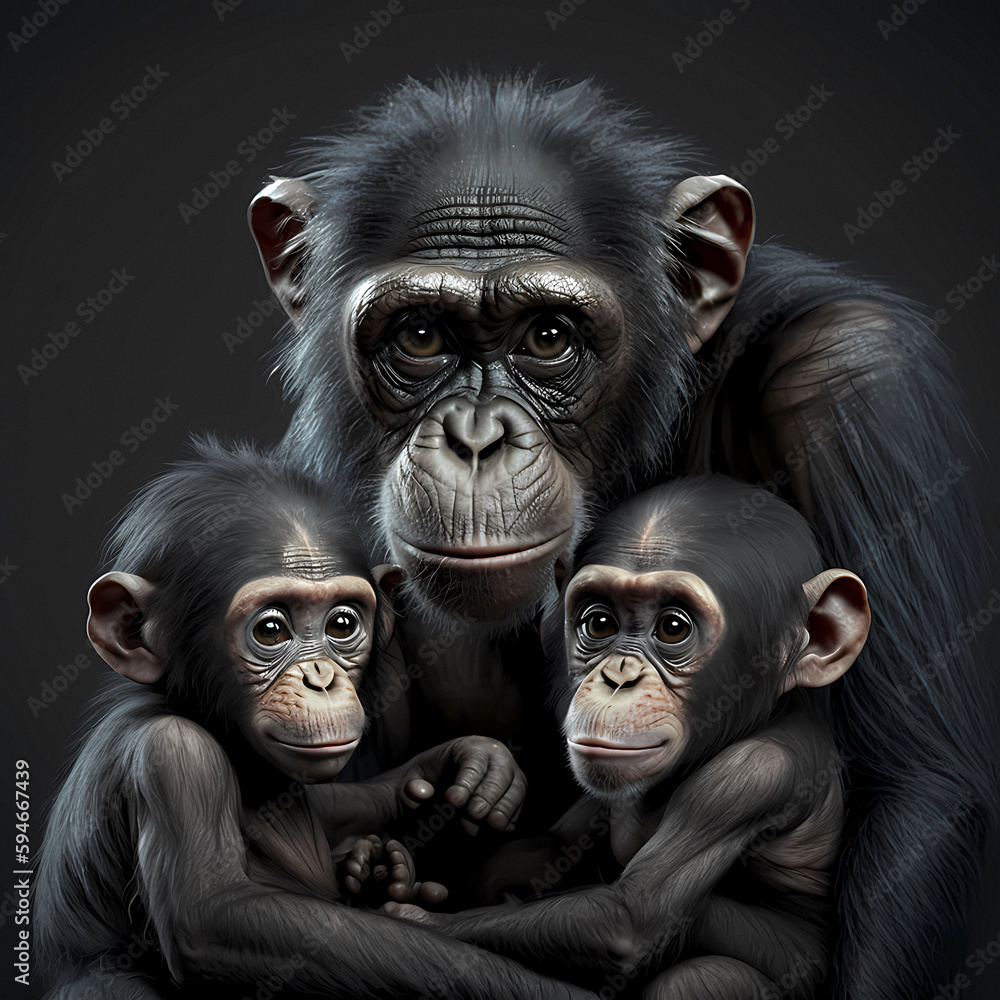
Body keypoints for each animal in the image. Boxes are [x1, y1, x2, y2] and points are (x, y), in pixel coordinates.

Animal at [35, 438, 596, 1000]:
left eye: (342, 623)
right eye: (271, 630)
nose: (321, 678)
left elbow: (330, 804)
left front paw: (470, 767)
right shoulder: (173, 755)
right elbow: (218, 917)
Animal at [383, 475, 869, 999]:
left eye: (673, 627)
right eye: (600, 623)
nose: (618, 676)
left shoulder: (751, 777)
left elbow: (629, 916)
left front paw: (415, 915)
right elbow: (552, 844)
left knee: (701, 979)